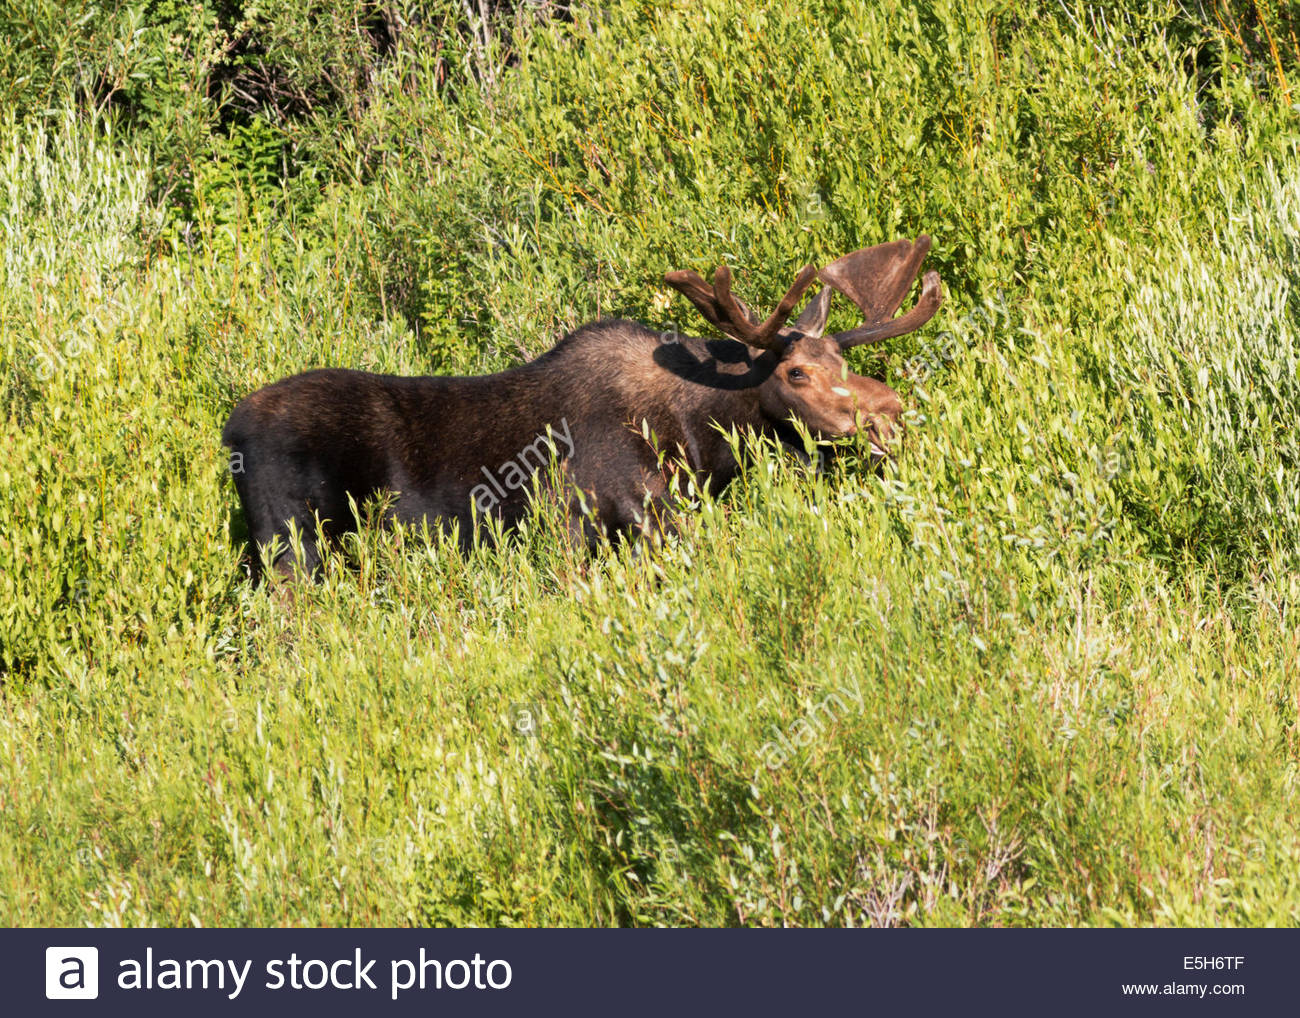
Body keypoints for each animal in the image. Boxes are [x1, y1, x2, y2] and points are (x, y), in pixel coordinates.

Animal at [221, 235, 942, 581]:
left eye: (843, 361)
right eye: (796, 371)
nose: (891, 413)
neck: (703, 440)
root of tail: (228, 433)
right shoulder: (614, 516)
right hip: (294, 546)